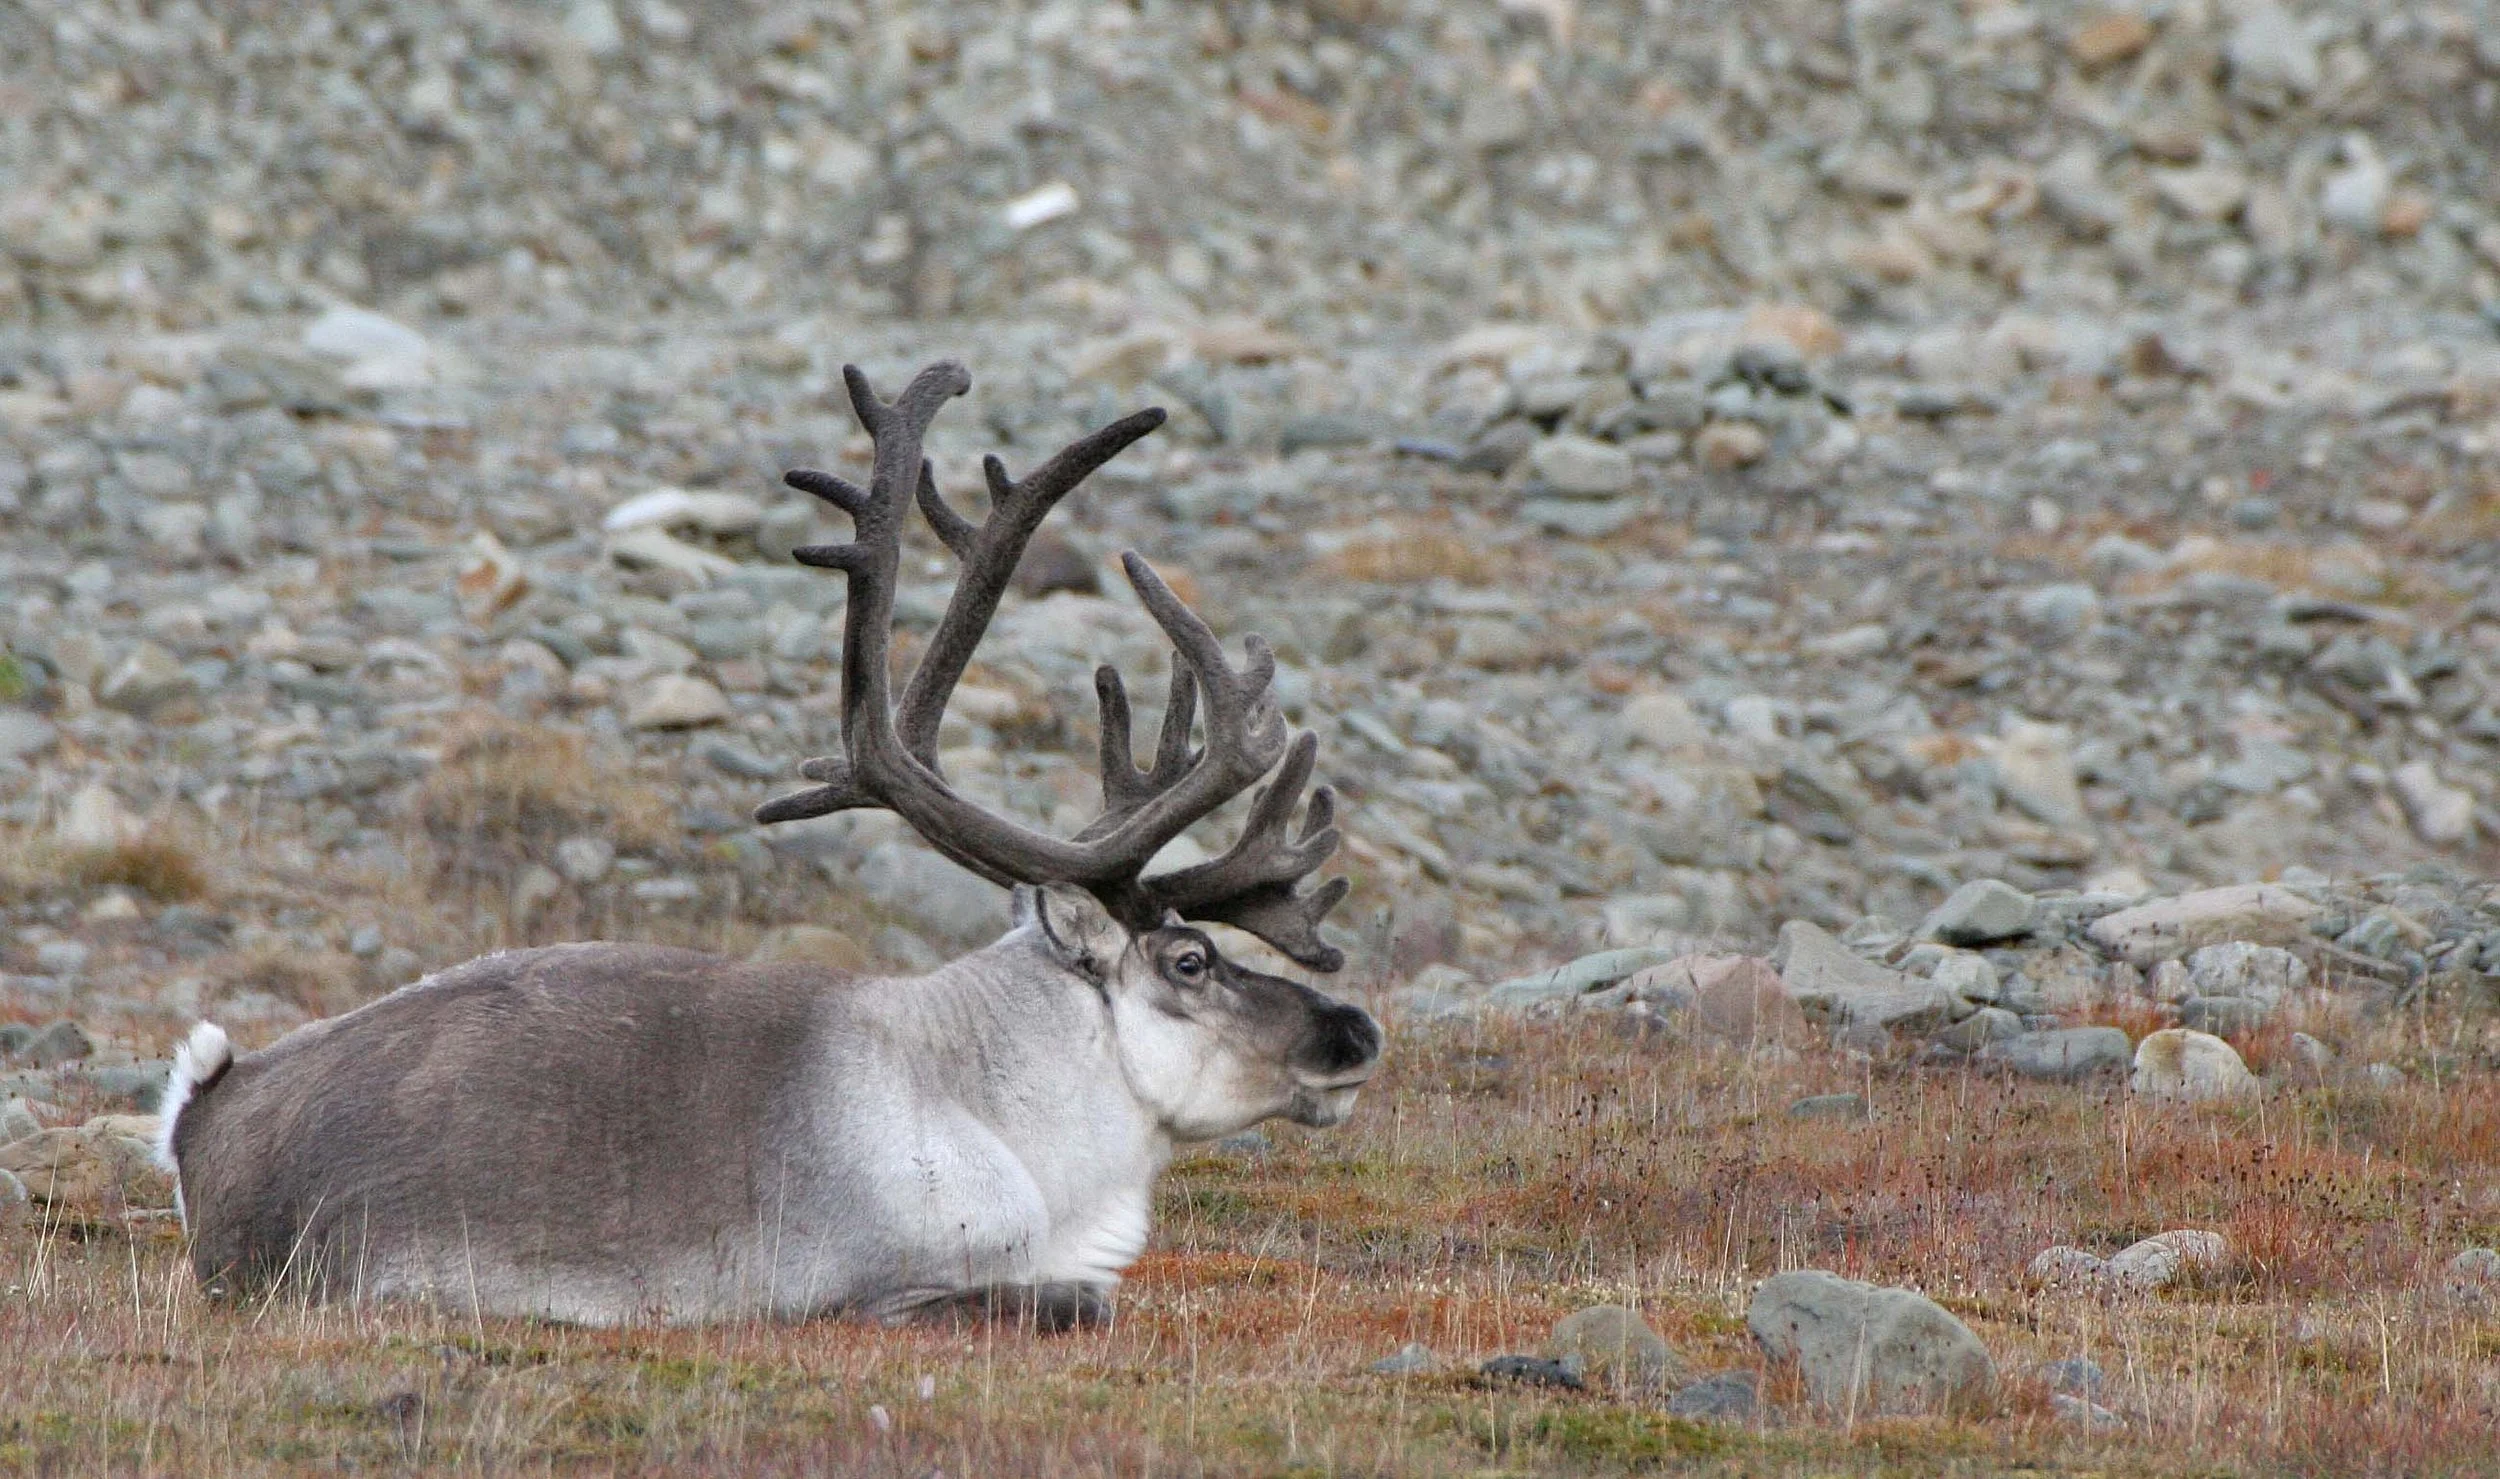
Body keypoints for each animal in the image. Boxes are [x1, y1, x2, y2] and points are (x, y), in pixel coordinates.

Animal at [156, 360, 1381, 1329]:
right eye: (1190, 960)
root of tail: (204, 1116)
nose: (1358, 1030)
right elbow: (1083, 1302)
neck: (1005, 1108)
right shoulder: (886, 1285)